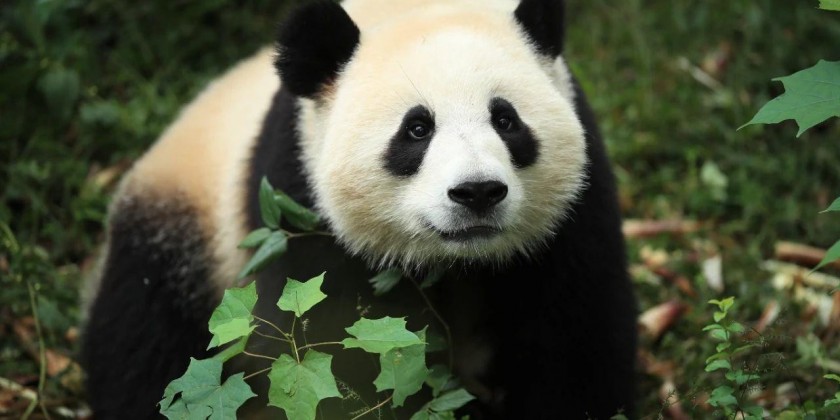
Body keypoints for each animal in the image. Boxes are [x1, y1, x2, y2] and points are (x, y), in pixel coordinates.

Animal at [80, 0, 638, 418]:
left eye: (506, 120)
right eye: (417, 129)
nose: (477, 192)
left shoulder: (576, 207)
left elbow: (573, 333)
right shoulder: (296, 193)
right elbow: (340, 349)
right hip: (182, 224)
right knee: (150, 344)